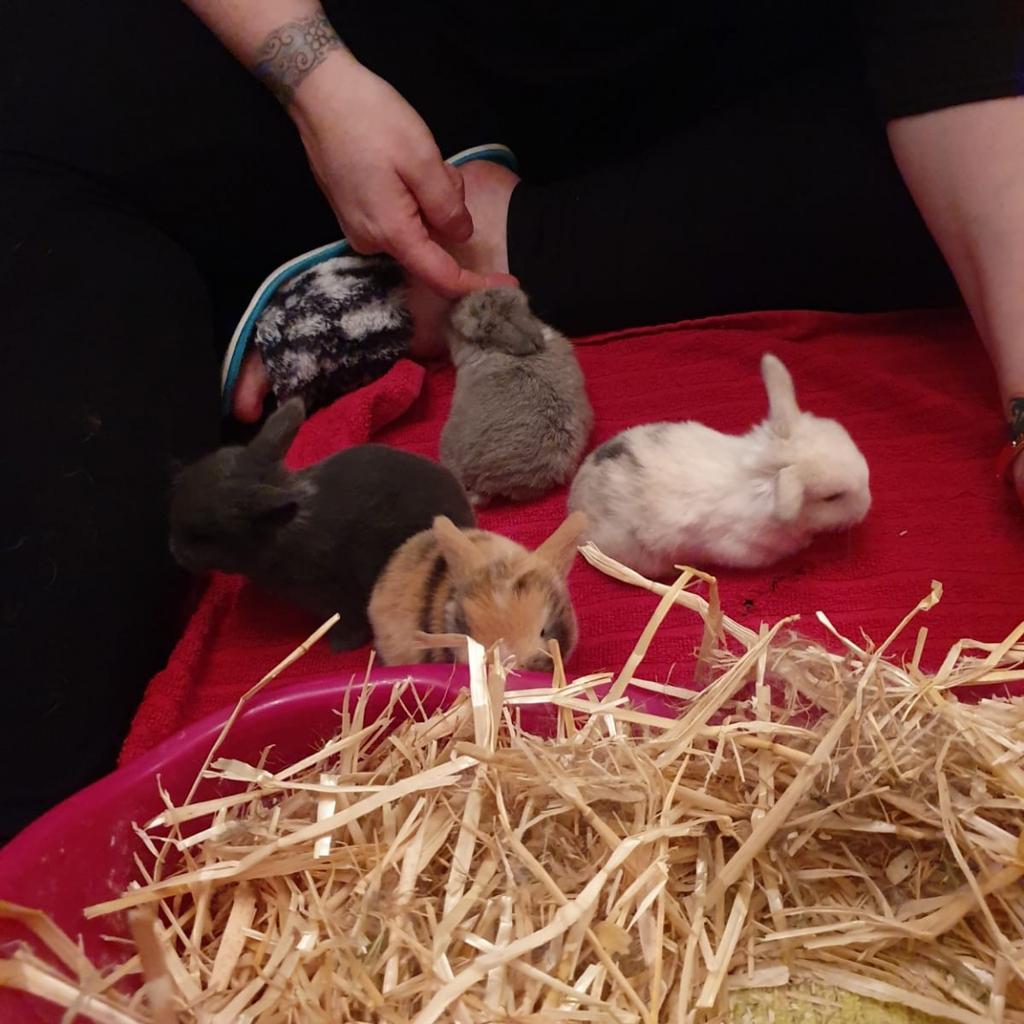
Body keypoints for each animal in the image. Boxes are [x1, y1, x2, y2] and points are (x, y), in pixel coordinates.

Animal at [169, 397, 475, 651]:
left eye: (203, 536)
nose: (174, 550)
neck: (278, 538)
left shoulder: (336, 595)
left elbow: (349, 619)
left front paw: (340, 646)